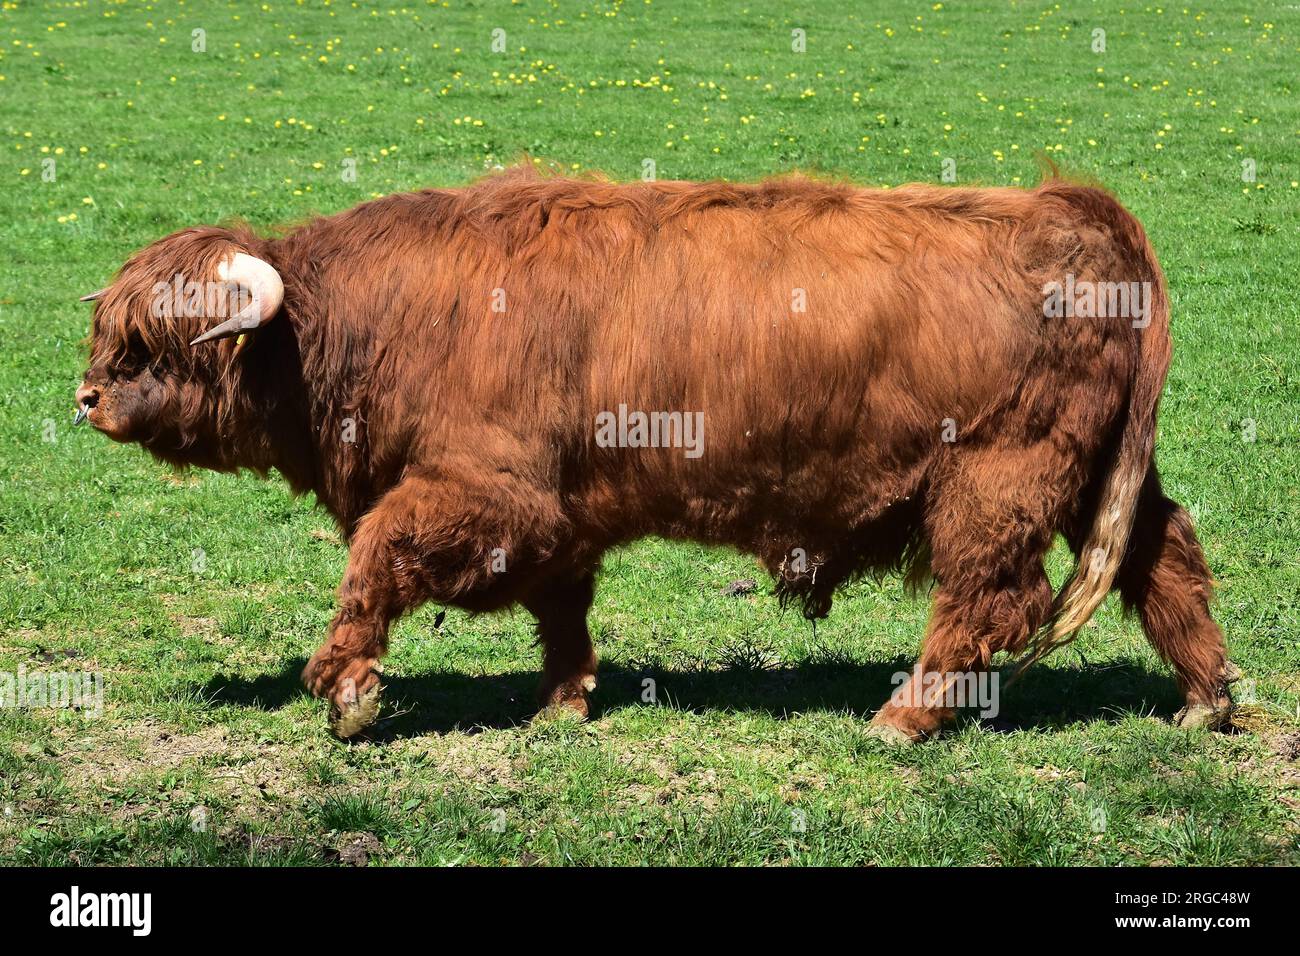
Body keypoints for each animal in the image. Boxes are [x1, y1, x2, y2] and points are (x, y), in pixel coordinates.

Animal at [75, 165, 1238, 740]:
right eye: (111, 338)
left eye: (153, 345)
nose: (83, 398)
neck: (364, 324)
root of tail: (1071, 212)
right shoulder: (556, 514)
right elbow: (560, 607)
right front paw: (562, 699)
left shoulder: (483, 490)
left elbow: (377, 557)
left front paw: (346, 687)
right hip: (1094, 477)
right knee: (1164, 554)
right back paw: (1204, 698)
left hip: (999, 480)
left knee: (988, 598)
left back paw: (901, 718)